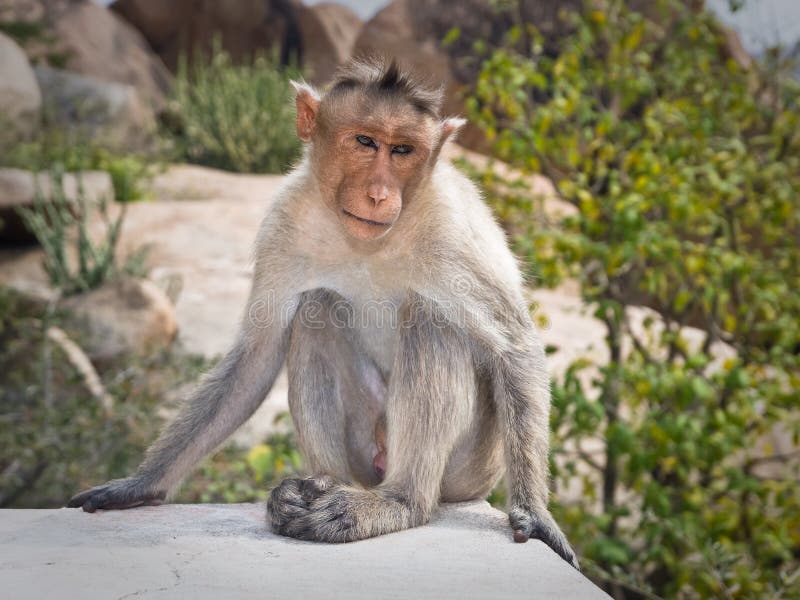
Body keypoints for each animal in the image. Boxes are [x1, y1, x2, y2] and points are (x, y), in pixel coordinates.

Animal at [67, 58, 578, 569]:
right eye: (365, 142)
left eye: (403, 150)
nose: (379, 193)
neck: (368, 241)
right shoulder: (284, 219)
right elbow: (258, 355)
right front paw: (138, 485)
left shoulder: (450, 229)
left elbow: (514, 347)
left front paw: (535, 515)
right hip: (366, 444)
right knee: (316, 310)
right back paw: (322, 486)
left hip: (470, 465)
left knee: (432, 316)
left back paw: (399, 502)